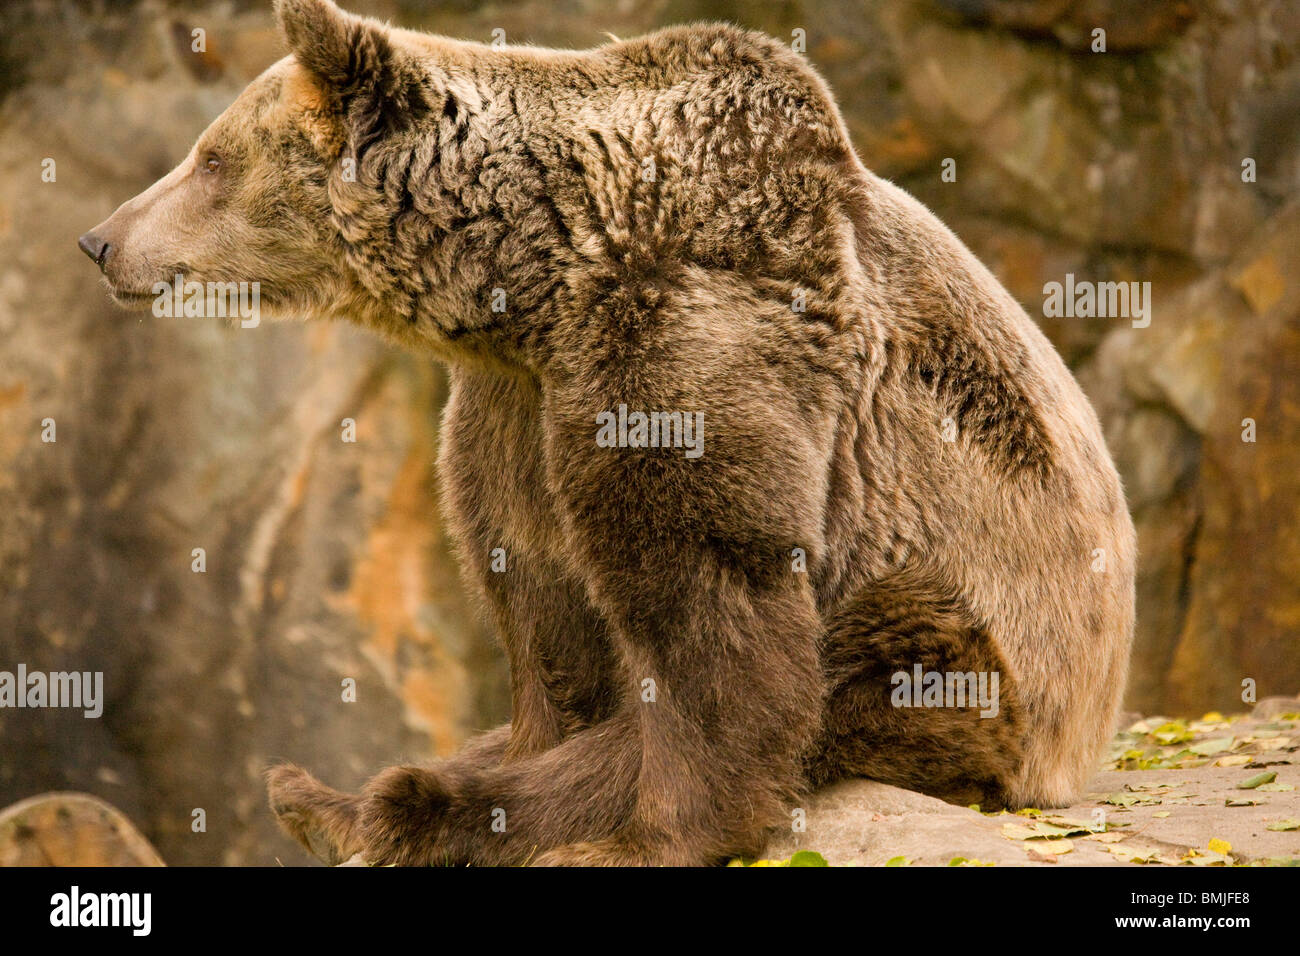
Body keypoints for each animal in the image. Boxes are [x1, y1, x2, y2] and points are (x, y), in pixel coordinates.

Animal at [78, 0, 1135, 866]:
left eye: (211, 157)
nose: (99, 240)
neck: (540, 280)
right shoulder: (514, 404)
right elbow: (541, 599)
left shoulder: (693, 323)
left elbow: (712, 597)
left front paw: (648, 837)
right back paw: (331, 798)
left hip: (983, 633)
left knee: (863, 672)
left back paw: (406, 805)